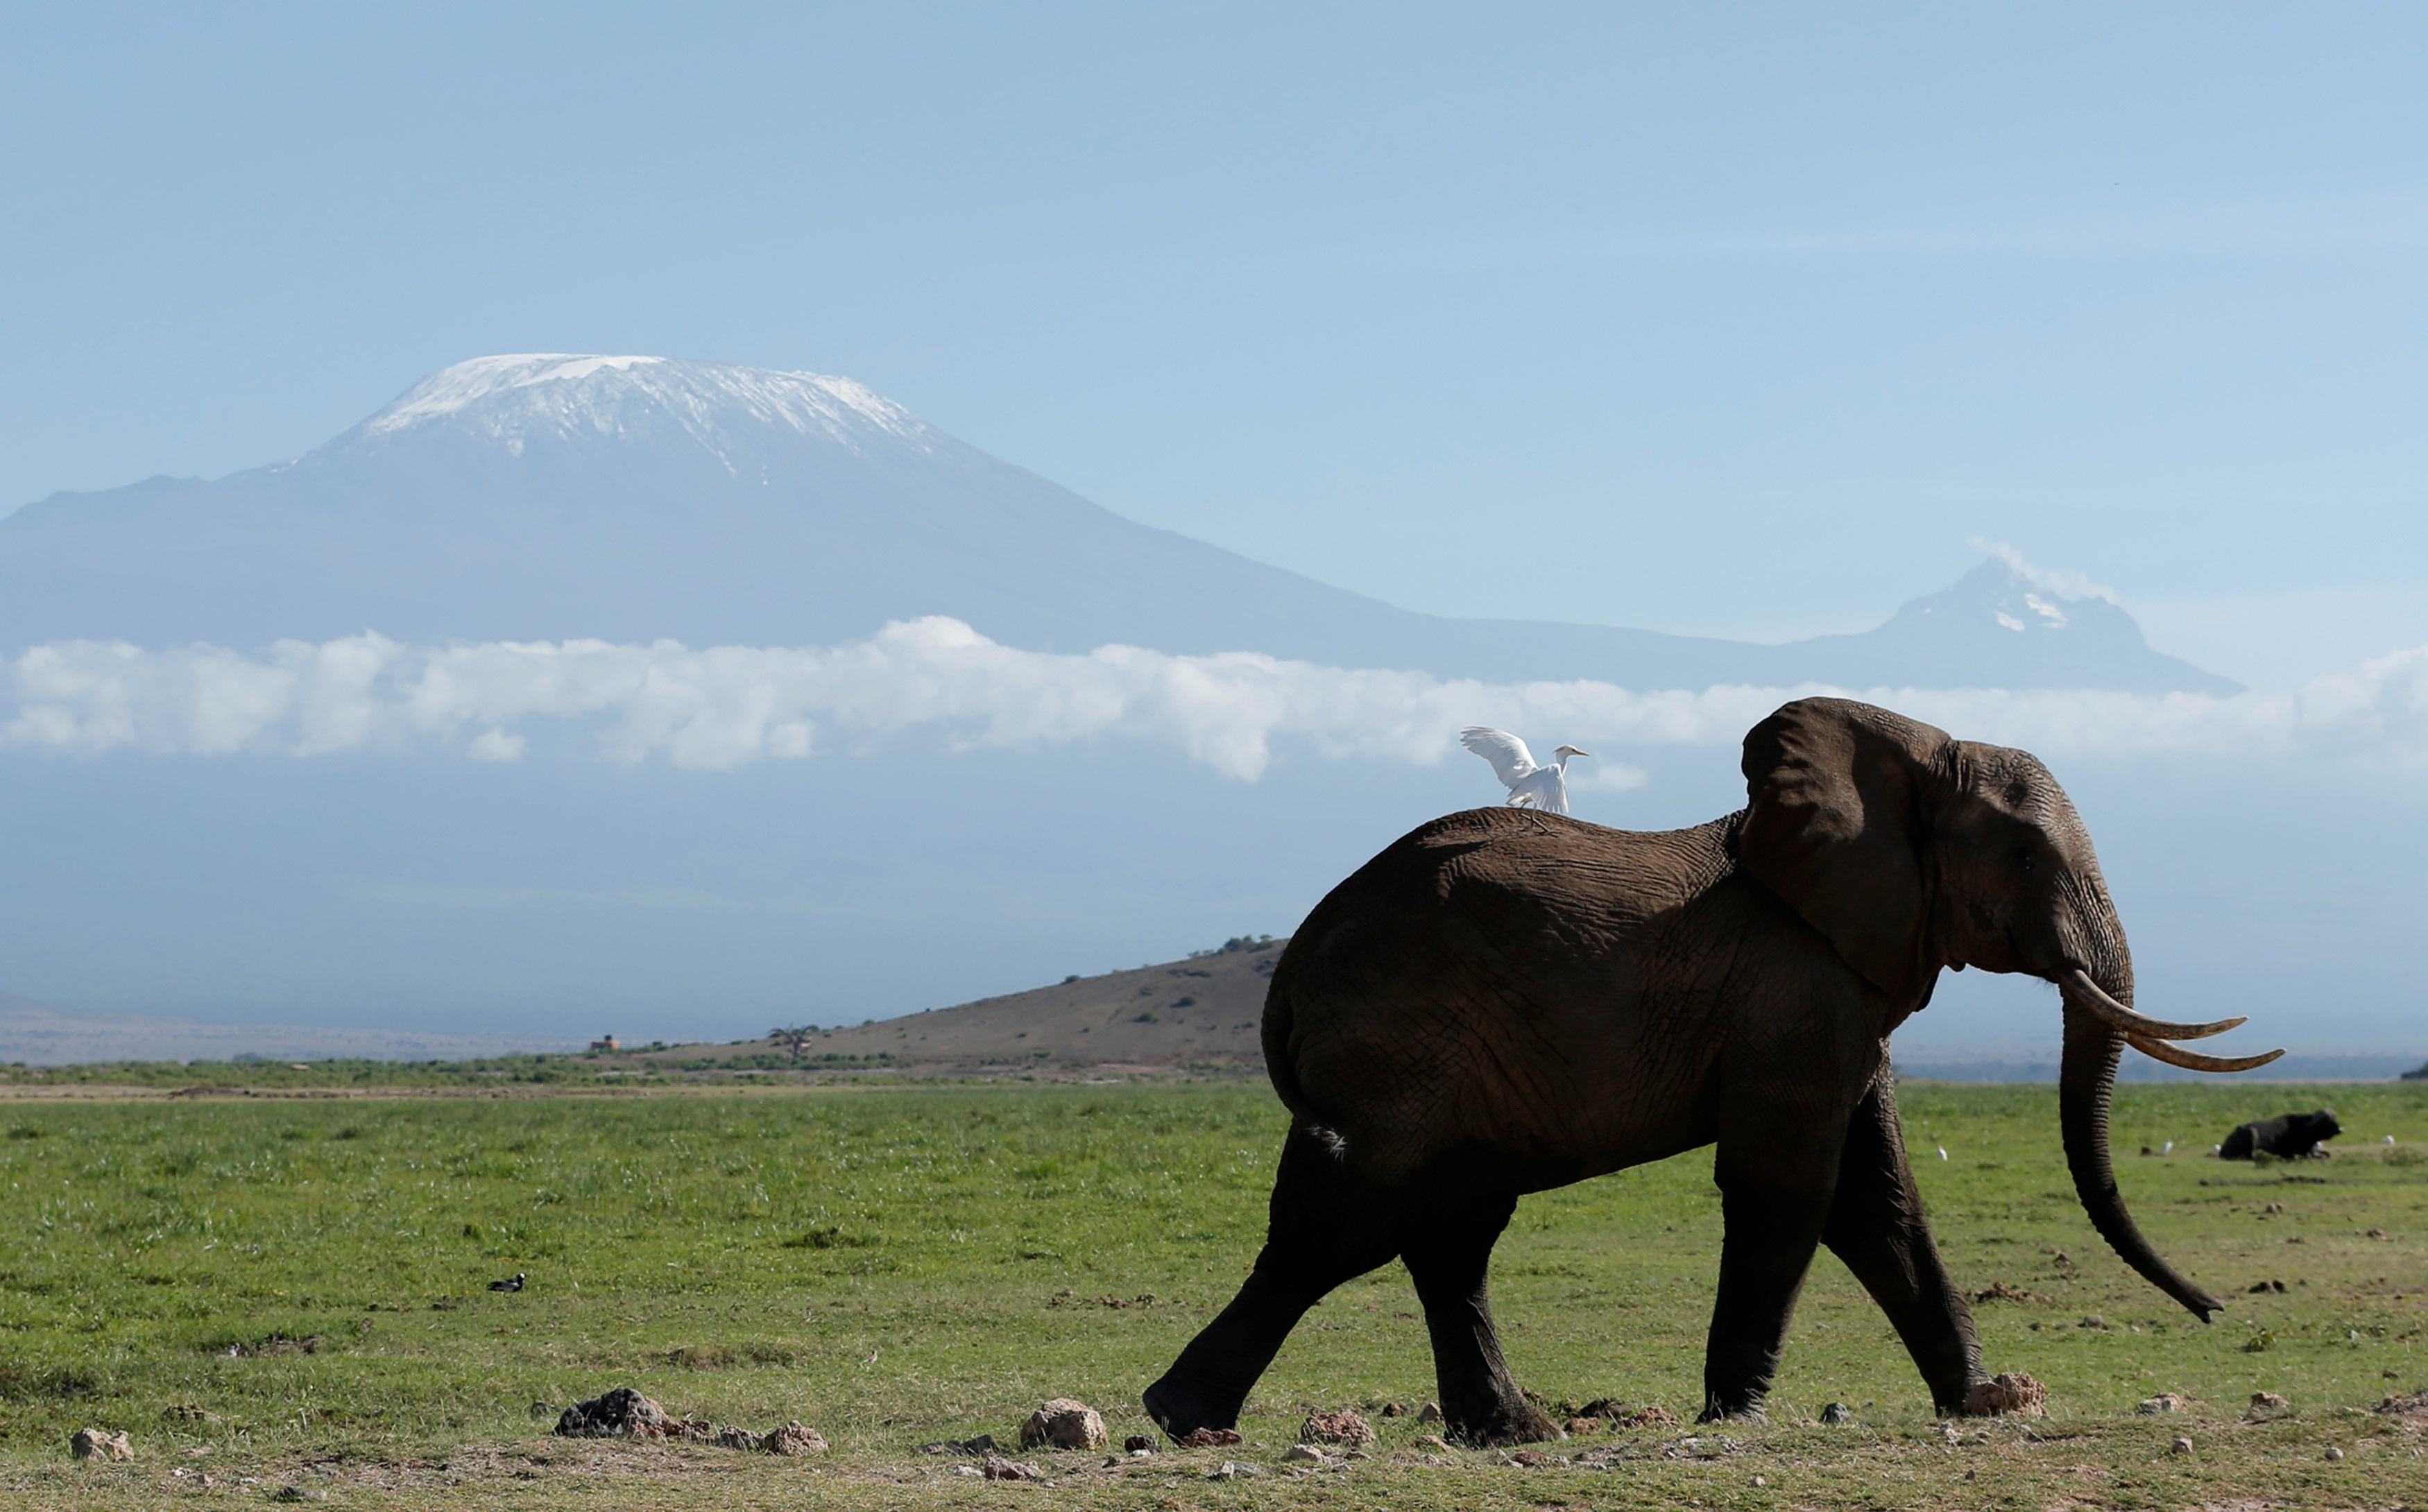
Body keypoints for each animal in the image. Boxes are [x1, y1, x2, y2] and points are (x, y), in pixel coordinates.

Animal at [1143, 697, 2283, 1445]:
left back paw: (1514, 1431)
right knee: (1349, 1215)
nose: (2215, 1314)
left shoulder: (1841, 990)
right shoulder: (1796, 991)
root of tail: (1299, 953)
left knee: (1447, 1230)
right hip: (1402, 1044)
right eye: (2026, 857)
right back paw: (1184, 1418)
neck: (1904, 760)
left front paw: (1983, 1401)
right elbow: (1795, 1187)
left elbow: (1878, 1197)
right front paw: (1734, 1413)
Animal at [2221, 1110, 2339, 1160]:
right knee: (2250, 1156)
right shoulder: (2288, 1152)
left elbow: (2326, 1154)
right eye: (2327, 1122)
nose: (2340, 1129)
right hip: (2251, 1132)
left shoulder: (2311, 1150)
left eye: (2334, 1119)